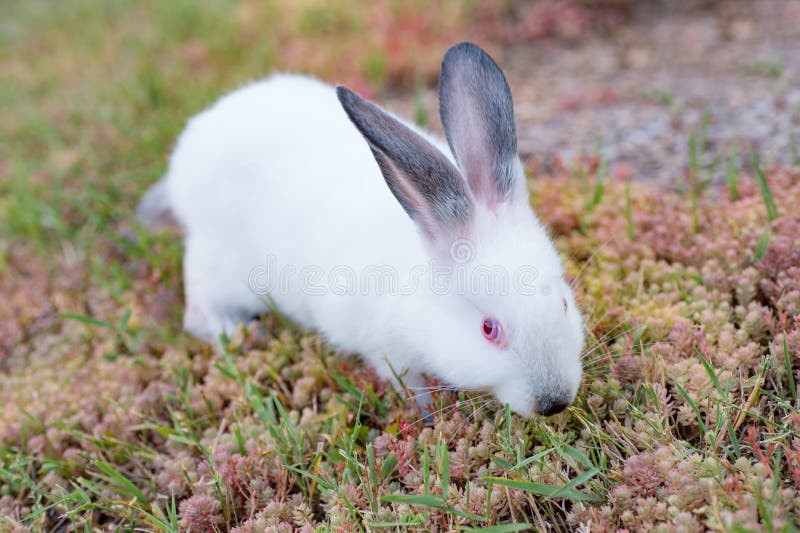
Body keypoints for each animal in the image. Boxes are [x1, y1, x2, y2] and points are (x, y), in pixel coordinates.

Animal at [138, 42, 584, 417]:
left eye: (563, 302)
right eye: (489, 329)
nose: (554, 402)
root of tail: (183, 162)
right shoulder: (384, 349)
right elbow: (406, 381)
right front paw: (427, 413)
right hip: (219, 268)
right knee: (197, 314)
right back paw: (241, 333)